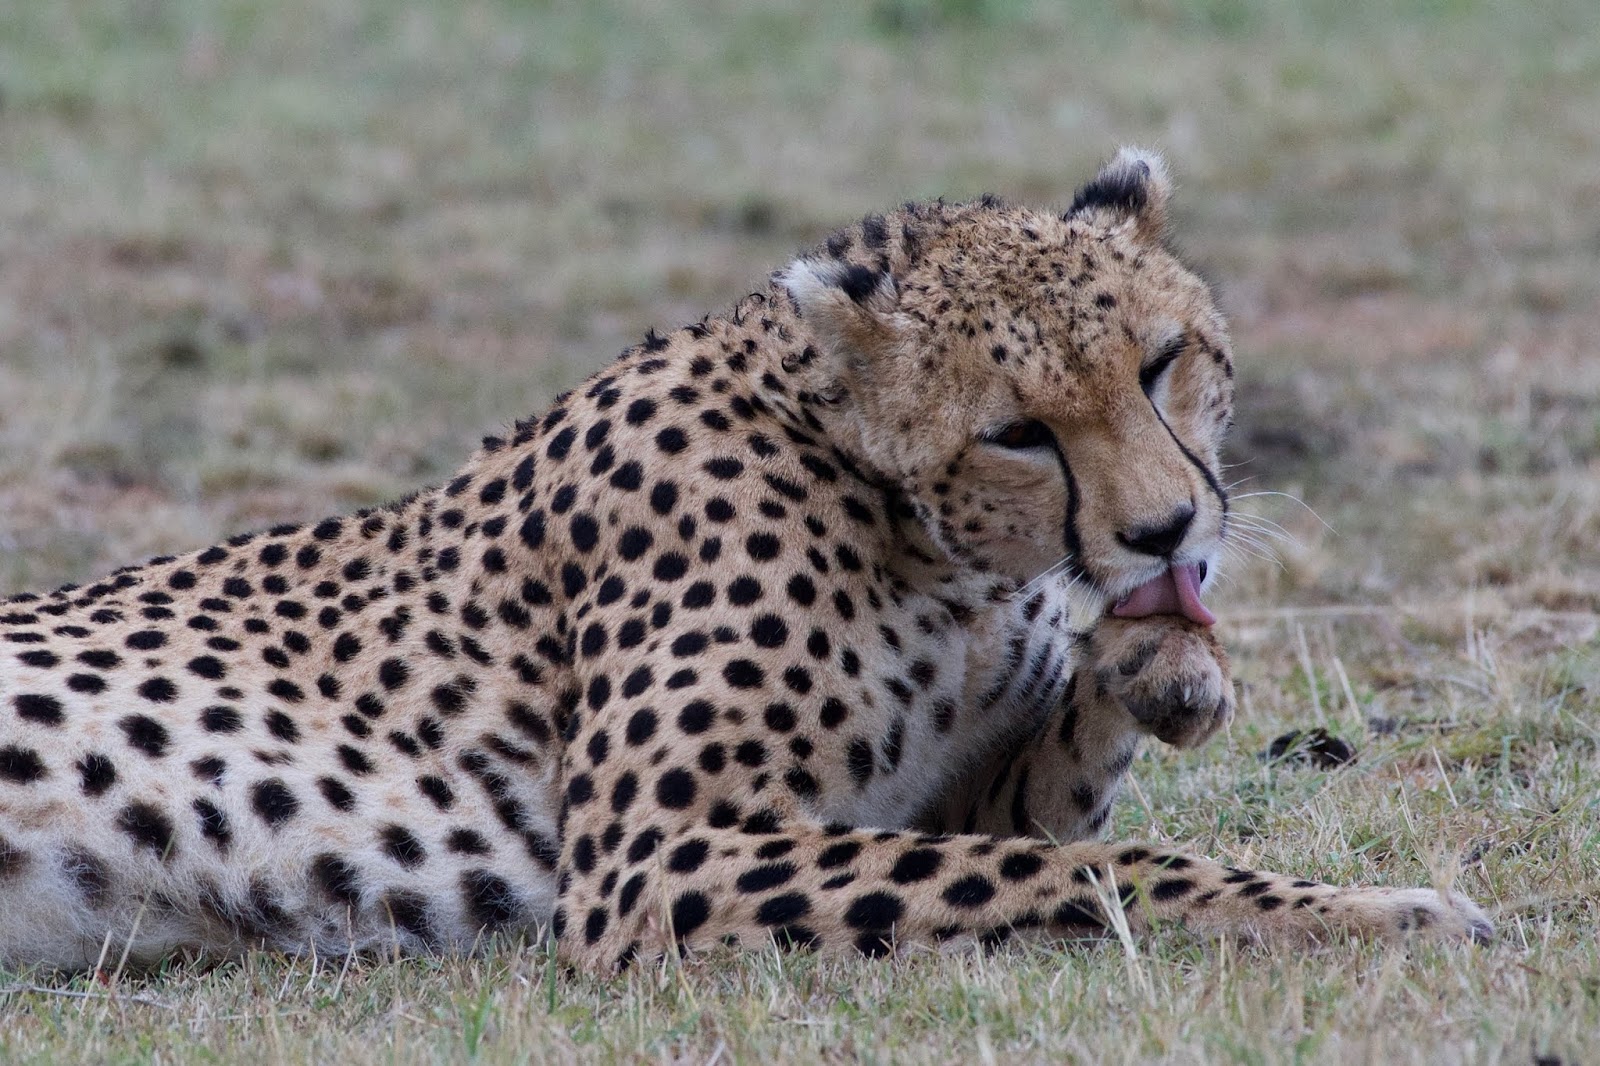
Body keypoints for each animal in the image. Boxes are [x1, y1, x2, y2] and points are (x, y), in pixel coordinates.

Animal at [0, 149, 1491, 973]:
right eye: (1017, 430)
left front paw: (1161, 661)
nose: (1166, 528)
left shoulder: (947, 784)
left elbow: (1051, 804)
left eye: (1163, 360)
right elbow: (1087, 871)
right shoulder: (644, 862)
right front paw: (1383, 914)